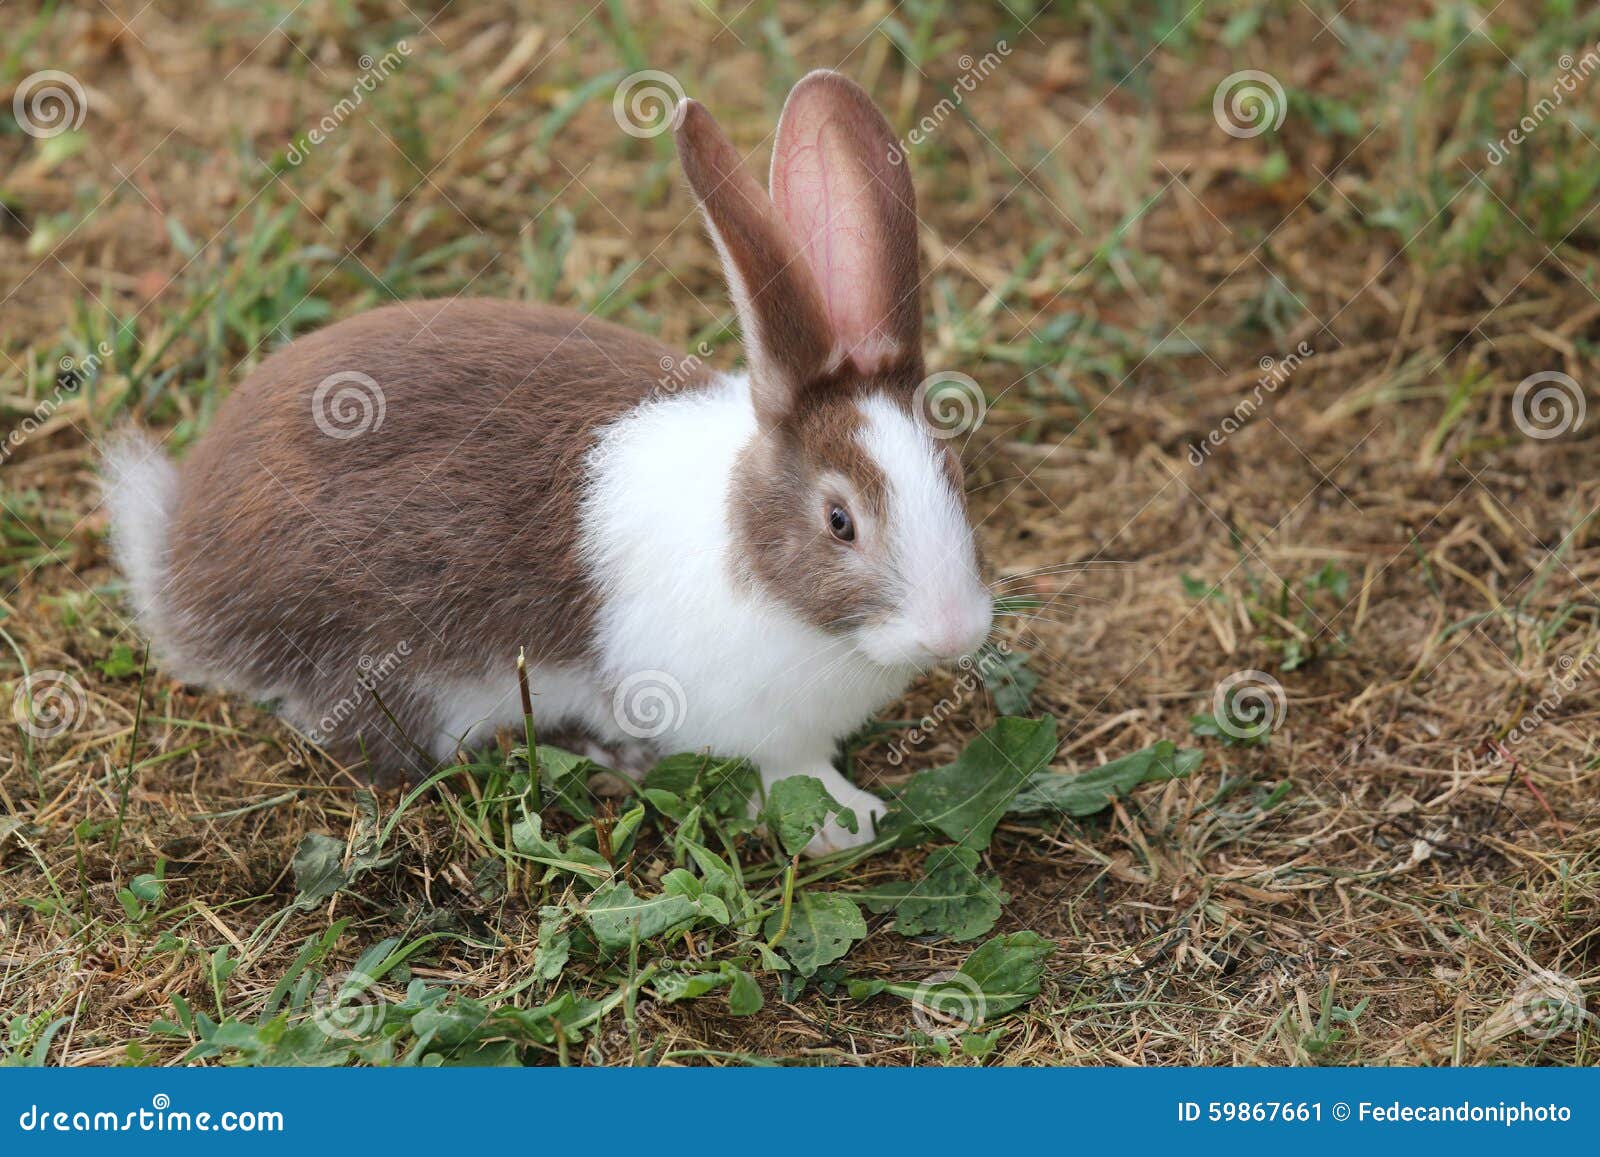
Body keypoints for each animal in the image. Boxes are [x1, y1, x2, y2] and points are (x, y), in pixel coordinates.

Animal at [102, 70, 994, 856]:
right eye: (840, 521)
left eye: (955, 477)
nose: (954, 633)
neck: (746, 545)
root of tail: (181, 573)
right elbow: (786, 775)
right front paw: (842, 824)